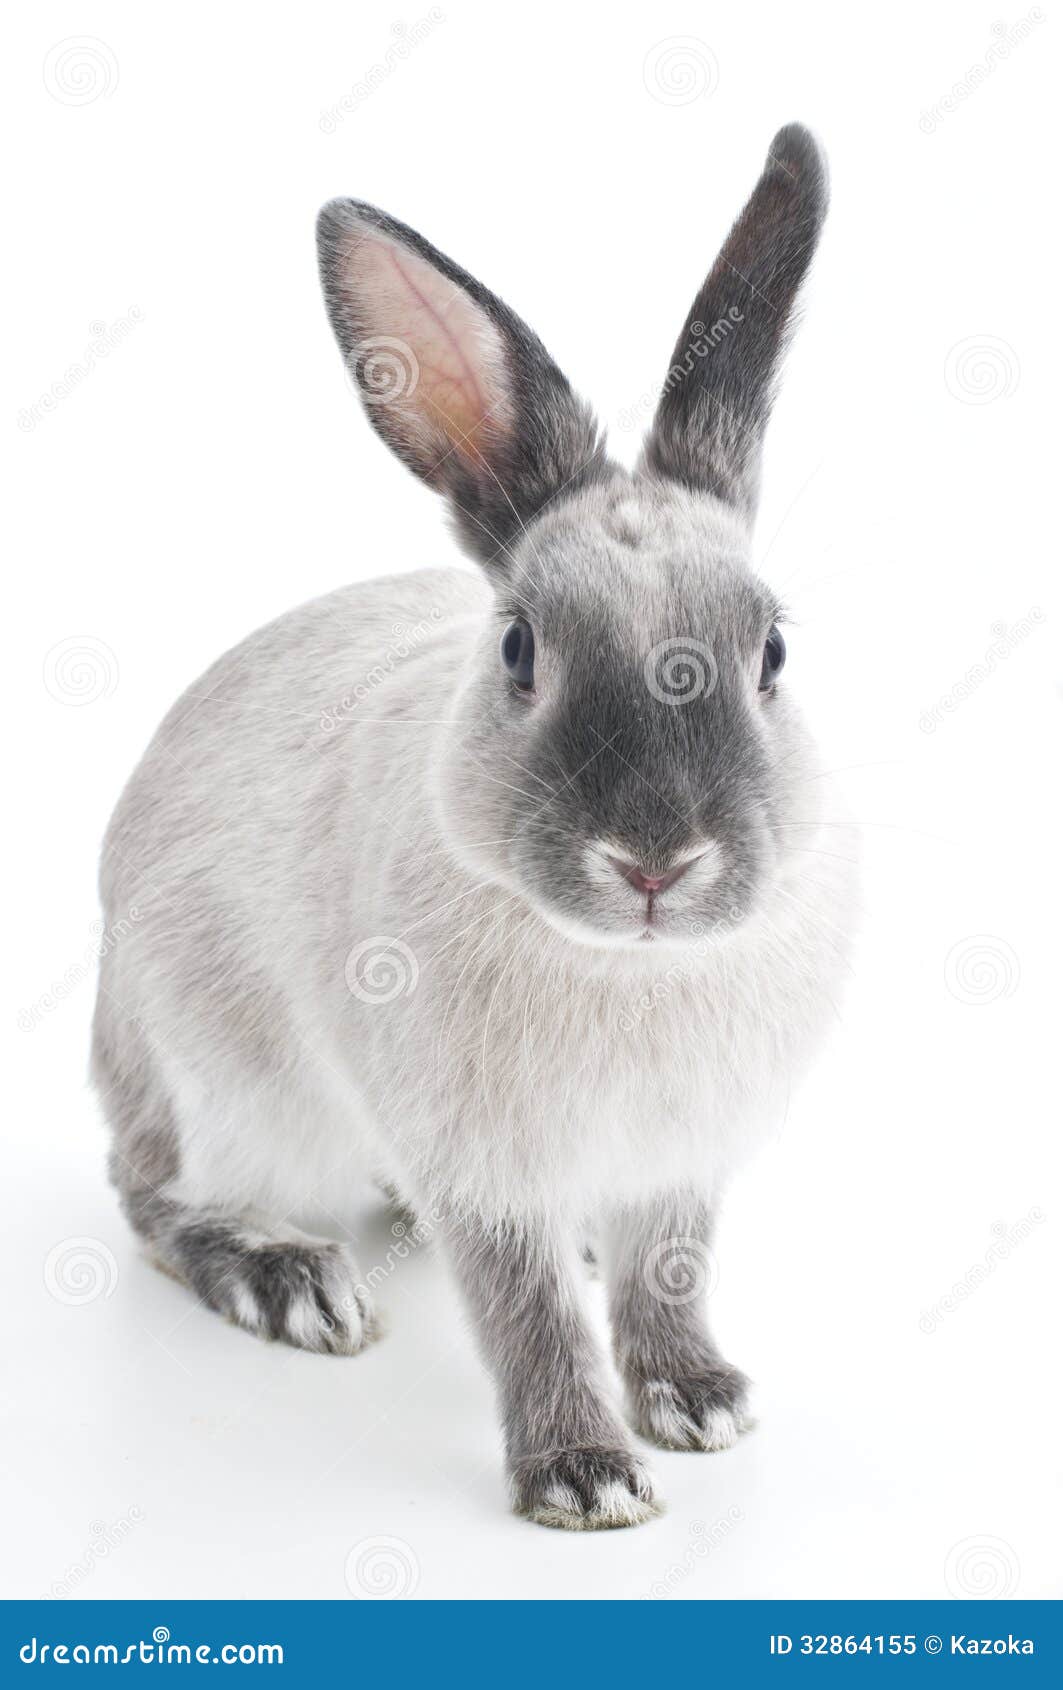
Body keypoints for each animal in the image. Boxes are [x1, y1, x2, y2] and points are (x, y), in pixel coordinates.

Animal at [92, 122, 856, 1531]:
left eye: (770, 651)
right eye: (519, 650)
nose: (656, 861)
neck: (625, 966)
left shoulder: (680, 1165)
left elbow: (667, 1272)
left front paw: (702, 1401)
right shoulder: (481, 1169)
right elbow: (523, 1312)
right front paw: (587, 1477)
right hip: (210, 1081)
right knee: (153, 1195)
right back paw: (291, 1278)